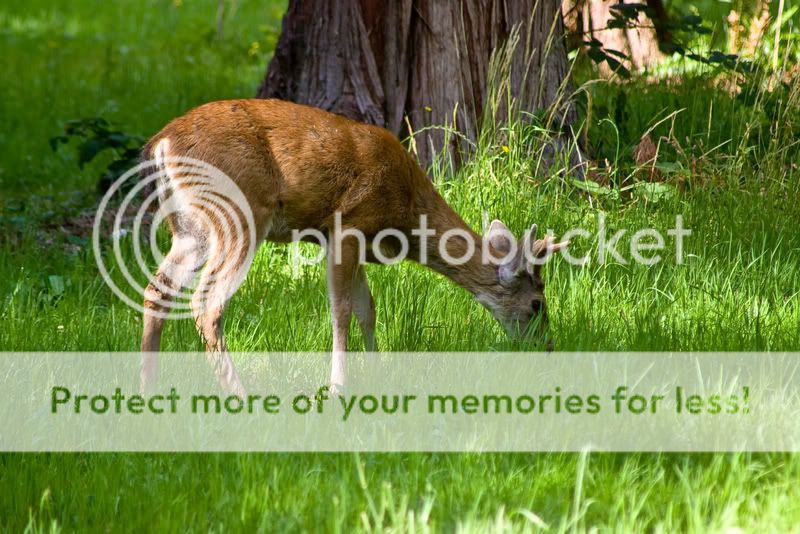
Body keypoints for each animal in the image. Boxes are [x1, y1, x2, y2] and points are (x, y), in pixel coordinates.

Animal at [138, 99, 568, 396]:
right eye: (537, 304)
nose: (548, 348)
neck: (406, 213)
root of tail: (162, 143)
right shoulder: (347, 228)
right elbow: (342, 310)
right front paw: (337, 387)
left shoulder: (360, 244)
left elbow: (368, 308)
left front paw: (377, 372)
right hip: (238, 215)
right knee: (207, 302)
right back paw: (239, 394)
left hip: (189, 230)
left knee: (156, 289)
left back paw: (148, 388)